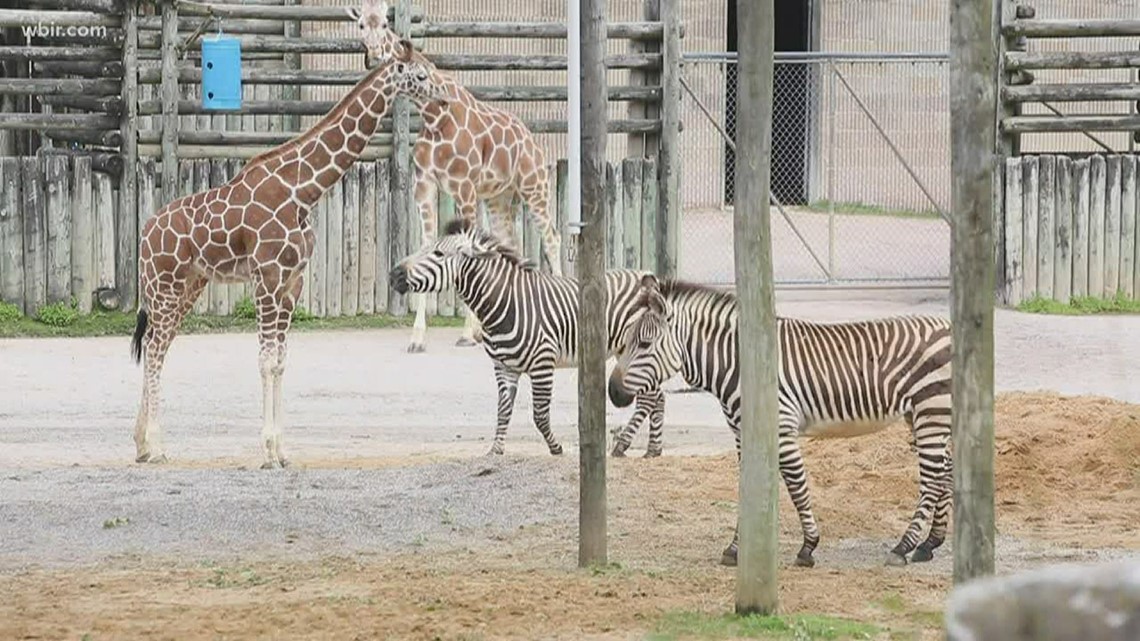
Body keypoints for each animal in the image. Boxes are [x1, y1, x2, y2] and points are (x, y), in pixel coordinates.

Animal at [129, 38, 449, 468]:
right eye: (420, 75)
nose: (445, 99)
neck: (303, 191)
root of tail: (145, 233)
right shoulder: (266, 276)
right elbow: (265, 360)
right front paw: (267, 450)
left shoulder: (292, 281)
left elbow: (280, 361)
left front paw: (282, 451)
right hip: (163, 284)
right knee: (154, 349)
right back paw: (157, 446)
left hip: (187, 286)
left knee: (156, 346)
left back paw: (142, 444)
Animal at [351, 1, 564, 353]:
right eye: (360, 25)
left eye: (383, 23)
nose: (373, 54)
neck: (433, 117)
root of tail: (530, 137)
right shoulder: (424, 185)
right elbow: (427, 244)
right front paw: (418, 337)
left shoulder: (464, 187)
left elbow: (469, 245)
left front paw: (466, 333)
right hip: (499, 197)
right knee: (510, 242)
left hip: (534, 186)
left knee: (552, 237)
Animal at [388, 218, 667, 457]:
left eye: (437, 254)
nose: (394, 275)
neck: (503, 304)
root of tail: (648, 277)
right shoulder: (503, 367)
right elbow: (503, 411)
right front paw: (495, 450)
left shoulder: (542, 363)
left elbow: (540, 415)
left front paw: (556, 448)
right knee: (657, 397)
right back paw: (653, 449)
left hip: (635, 349)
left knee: (648, 398)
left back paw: (623, 445)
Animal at [606, 274, 953, 568]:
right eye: (625, 343)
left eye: (644, 344)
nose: (612, 392)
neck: (740, 363)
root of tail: (948, 325)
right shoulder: (743, 431)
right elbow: (749, 485)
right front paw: (737, 549)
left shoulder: (780, 427)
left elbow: (797, 486)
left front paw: (808, 547)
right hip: (925, 415)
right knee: (945, 474)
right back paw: (929, 543)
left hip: (931, 409)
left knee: (932, 478)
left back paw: (904, 546)